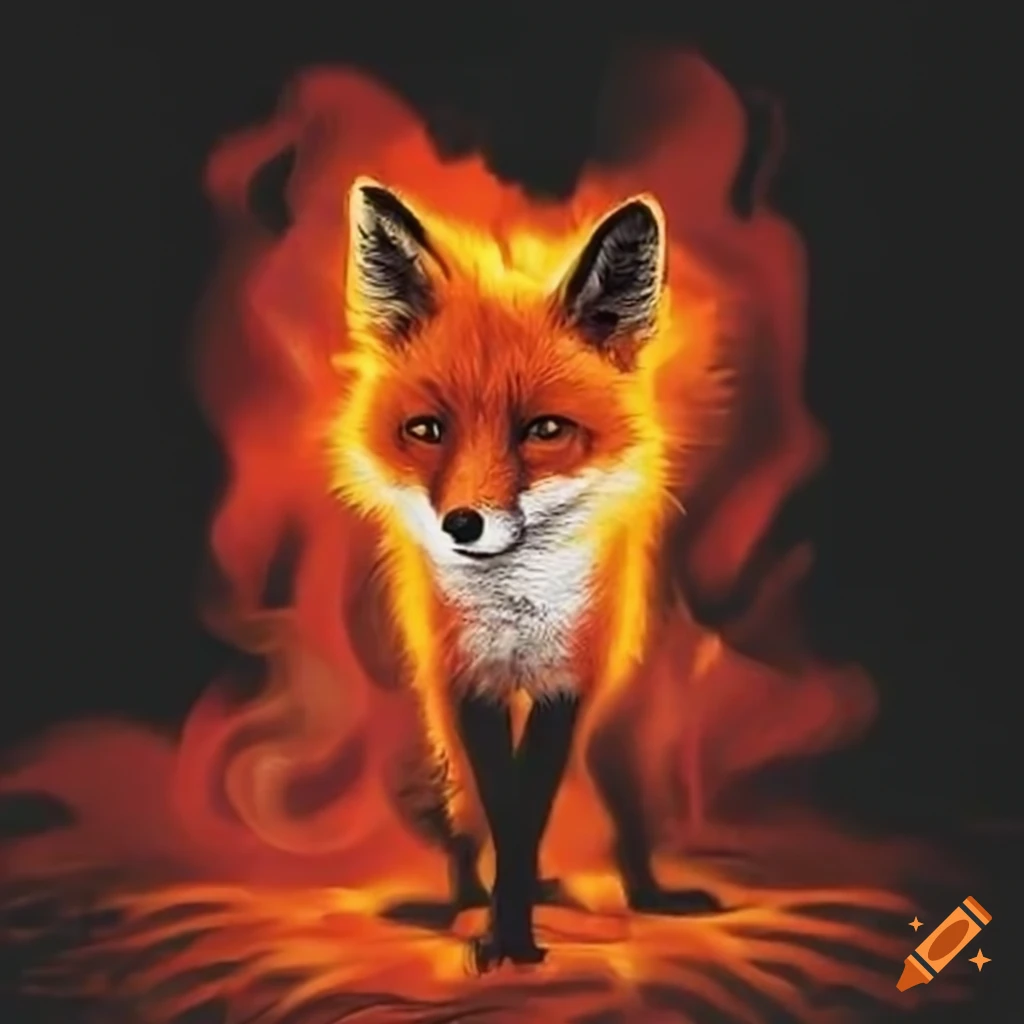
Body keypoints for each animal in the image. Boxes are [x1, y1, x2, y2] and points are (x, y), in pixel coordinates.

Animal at [328, 176, 727, 968]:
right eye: (426, 430)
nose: (462, 525)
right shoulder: (466, 683)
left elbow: (529, 810)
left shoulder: (566, 683)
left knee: (625, 821)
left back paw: (644, 895)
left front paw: (514, 935)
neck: (514, 608)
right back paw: (461, 903)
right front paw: (498, 929)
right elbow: (502, 813)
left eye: (544, 430)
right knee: (464, 825)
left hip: (625, 737)